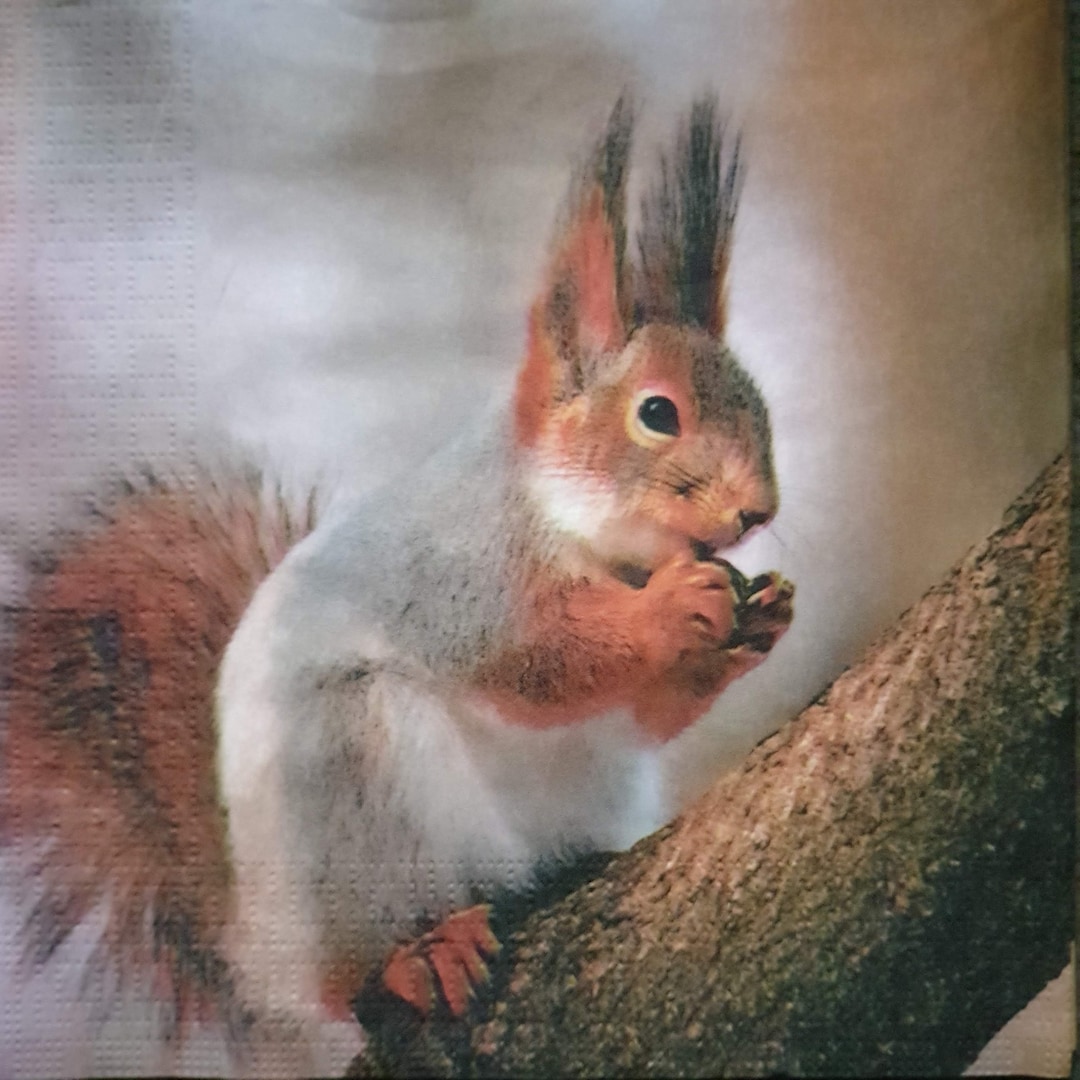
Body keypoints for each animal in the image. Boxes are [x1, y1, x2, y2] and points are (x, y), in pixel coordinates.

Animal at [0, 96, 793, 1077]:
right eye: (657, 413)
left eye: (760, 406)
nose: (759, 510)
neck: (585, 536)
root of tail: (263, 941)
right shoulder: (463, 579)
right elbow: (535, 665)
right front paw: (674, 609)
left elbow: (644, 713)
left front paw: (757, 622)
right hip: (358, 789)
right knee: (362, 971)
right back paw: (424, 953)